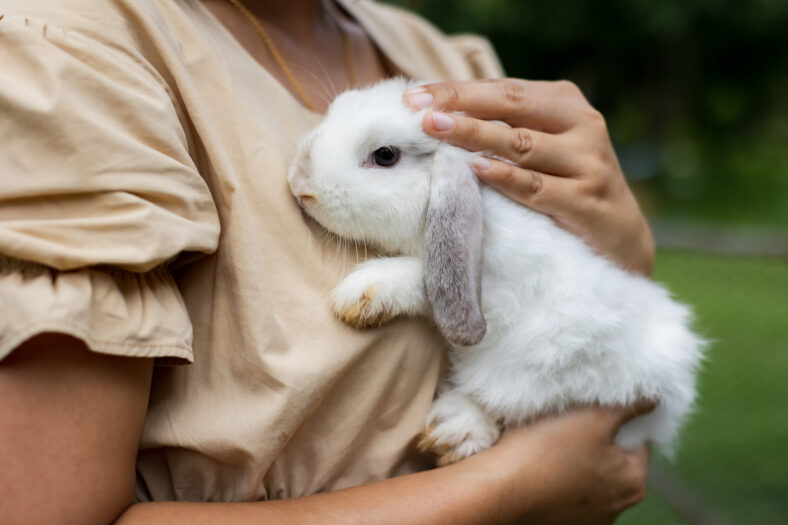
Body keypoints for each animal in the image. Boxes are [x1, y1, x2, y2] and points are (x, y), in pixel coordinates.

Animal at [287, 78, 704, 466]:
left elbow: (425, 277)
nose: (300, 183)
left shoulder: (502, 289)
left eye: (385, 155)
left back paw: (455, 431)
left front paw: (359, 294)